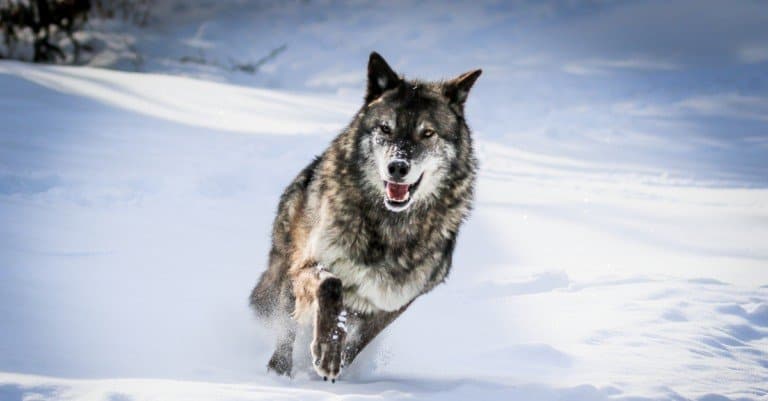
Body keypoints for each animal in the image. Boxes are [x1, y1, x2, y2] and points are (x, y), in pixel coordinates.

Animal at [249, 52, 481, 381]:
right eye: (385, 129)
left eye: (427, 133)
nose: (398, 167)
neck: (389, 228)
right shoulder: (307, 266)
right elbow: (330, 285)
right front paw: (327, 350)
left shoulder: (393, 301)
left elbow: (359, 341)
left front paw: (336, 360)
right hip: (286, 272)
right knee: (286, 329)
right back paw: (277, 374)